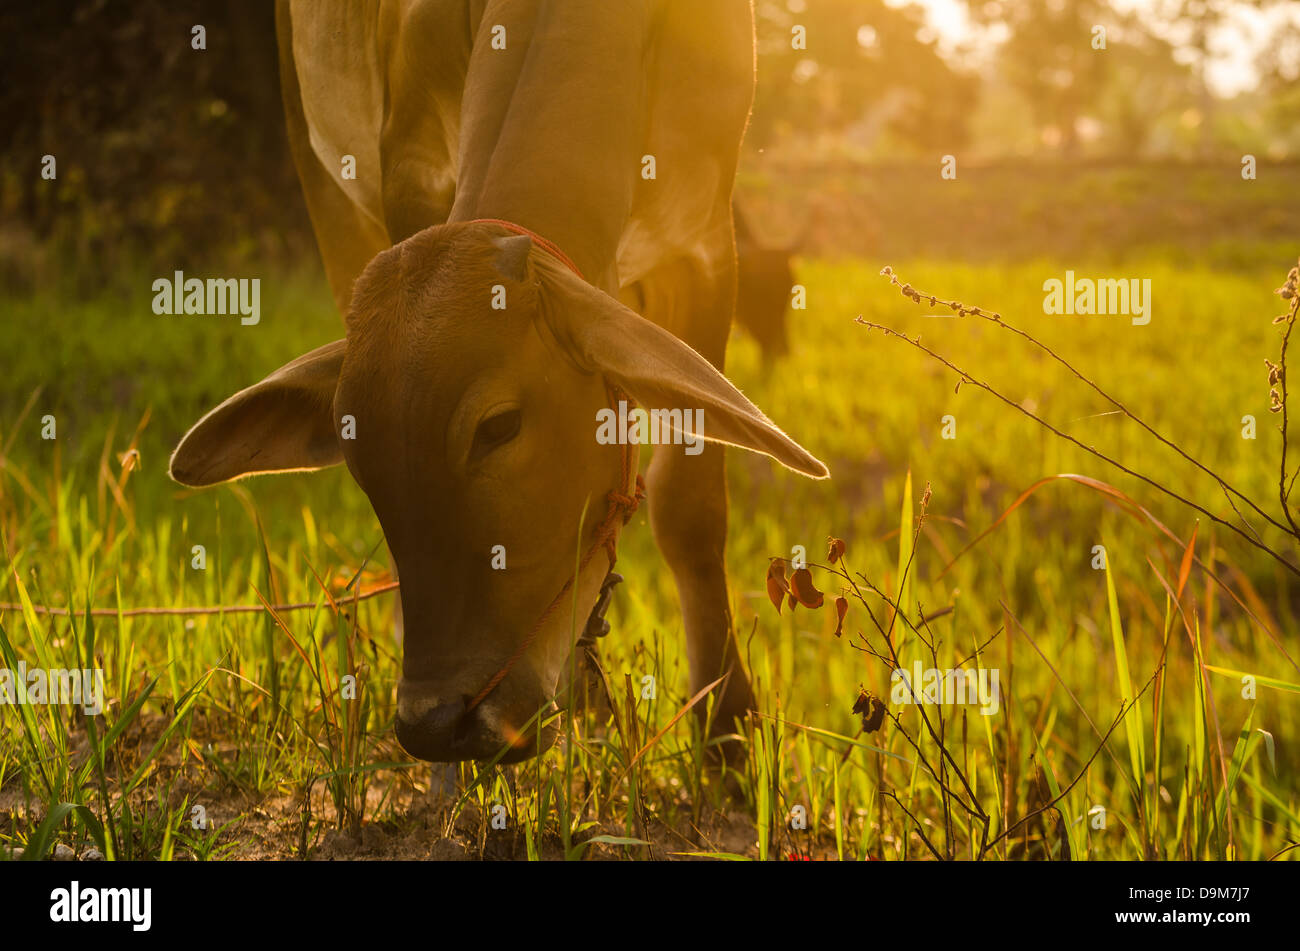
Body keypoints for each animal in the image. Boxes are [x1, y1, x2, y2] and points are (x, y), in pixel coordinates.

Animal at [168, 0, 829, 765]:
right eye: (354, 453)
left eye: (500, 426)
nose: (433, 725)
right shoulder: (407, 175)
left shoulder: (702, 245)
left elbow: (690, 511)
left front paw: (727, 735)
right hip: (321, 176)